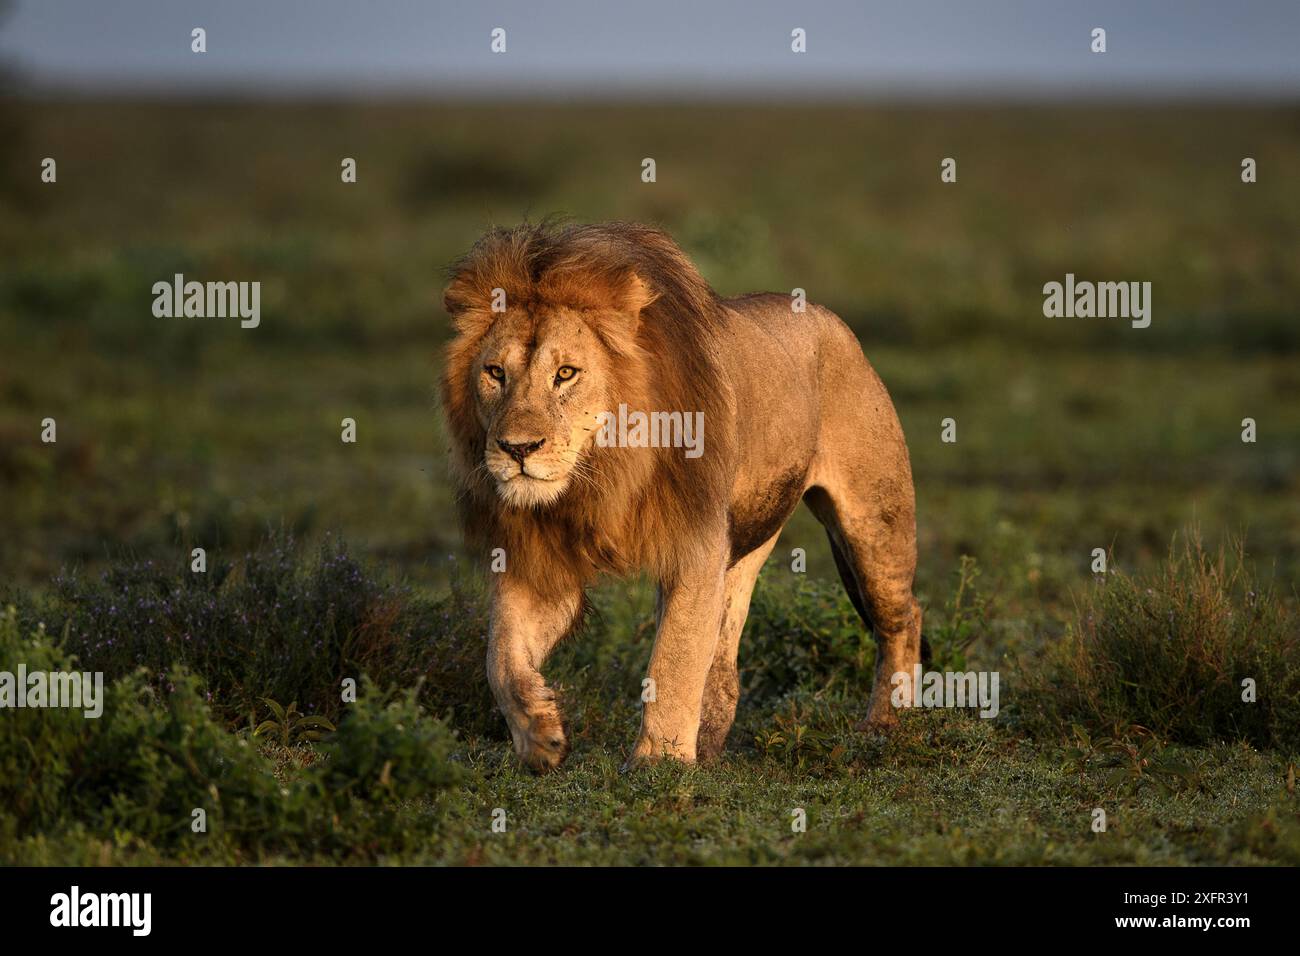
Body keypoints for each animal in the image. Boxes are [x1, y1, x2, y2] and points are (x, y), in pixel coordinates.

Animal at [441, 221, 922, 771]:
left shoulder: (694, 545)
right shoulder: (542, 560)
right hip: (747, 541)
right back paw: (709, 745)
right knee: (725, 651)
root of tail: (828, 317)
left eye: (565, 374)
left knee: (903, 618)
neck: (604, 473)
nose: (518, 448)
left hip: (874, 524)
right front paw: (539, 735)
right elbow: (500, 656)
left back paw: (886, 725)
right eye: (495, 373)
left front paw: (657, 764)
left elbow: (673, 660)